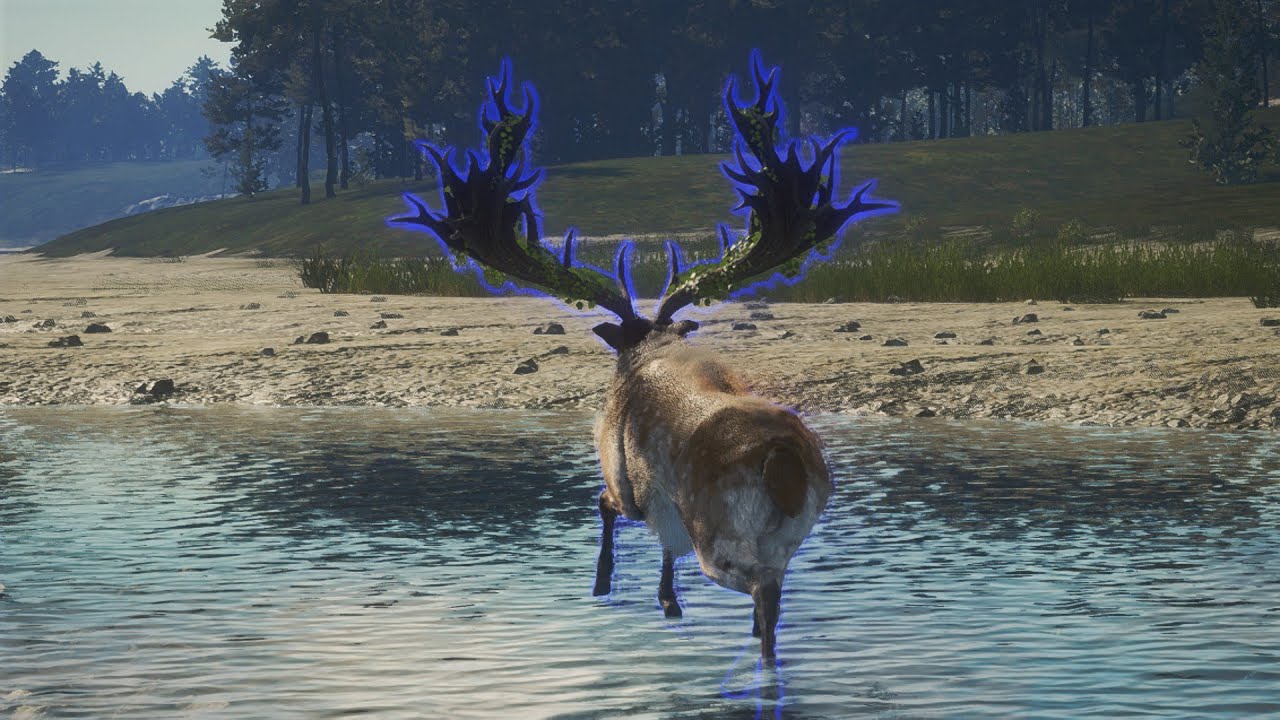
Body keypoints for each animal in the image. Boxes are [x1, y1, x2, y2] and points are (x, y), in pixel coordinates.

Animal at [390, 54, 895, 661]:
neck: (651, 351)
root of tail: (784, 464)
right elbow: (664, 551)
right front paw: (664, 600)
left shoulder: (622, 474)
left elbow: (606, 507)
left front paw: (605, 583)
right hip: (793, 532)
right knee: (770, 591)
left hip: (718, 532)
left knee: (761, 593)